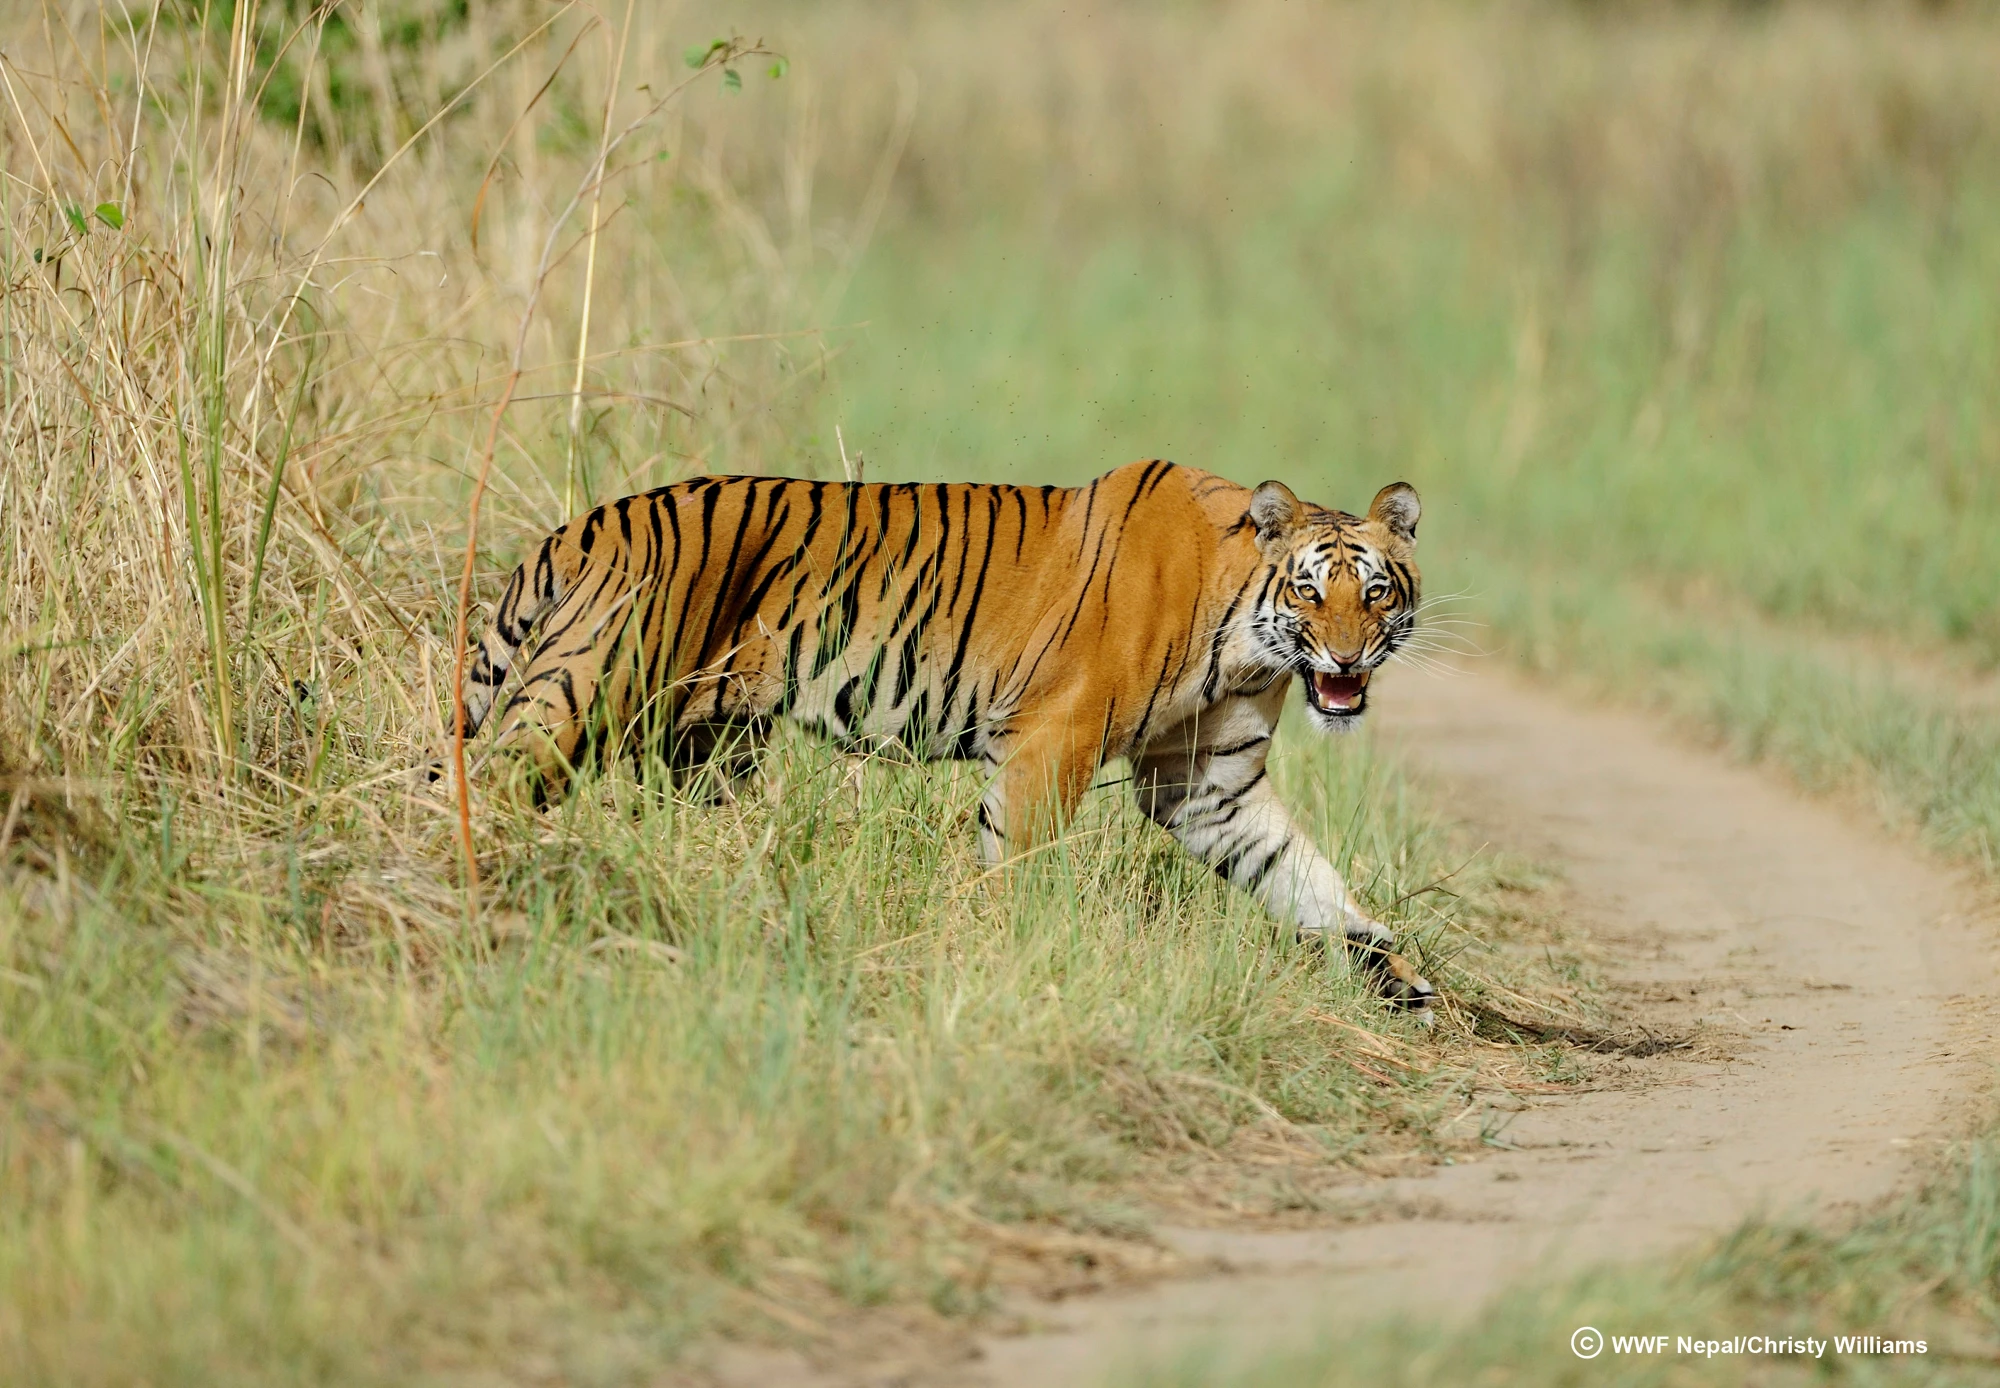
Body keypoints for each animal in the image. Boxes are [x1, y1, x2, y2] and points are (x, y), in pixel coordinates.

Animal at [450, 462, 1440, 1016]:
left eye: (1375, 592)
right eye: (1310, 591)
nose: (1346, 657)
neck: (1244, 641)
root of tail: (587, 524)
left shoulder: (1207, 784)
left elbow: (1303, 876)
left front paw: (1397, 976)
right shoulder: (1052, 741)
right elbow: (1016, 867)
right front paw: (1009, 963)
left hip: (705, 746)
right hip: (582, 697)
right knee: (484, 786)